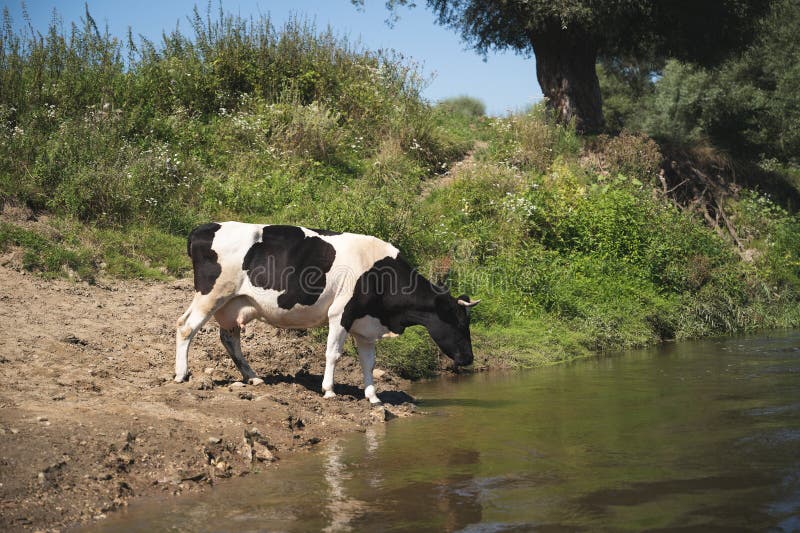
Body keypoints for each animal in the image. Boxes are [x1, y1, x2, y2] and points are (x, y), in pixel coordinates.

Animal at [175, 222, 479, 404]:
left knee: (228, 338)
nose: (468, 359)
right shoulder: (341, 313)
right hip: (212, 294)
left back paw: (252, 376)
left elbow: (369, 362)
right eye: (458, 322)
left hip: (230, 303)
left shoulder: (365, 324)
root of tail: (204, 227)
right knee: (186, 327)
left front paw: (373, 397)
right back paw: (181, 374)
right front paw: (329, 390)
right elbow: (333, 353)